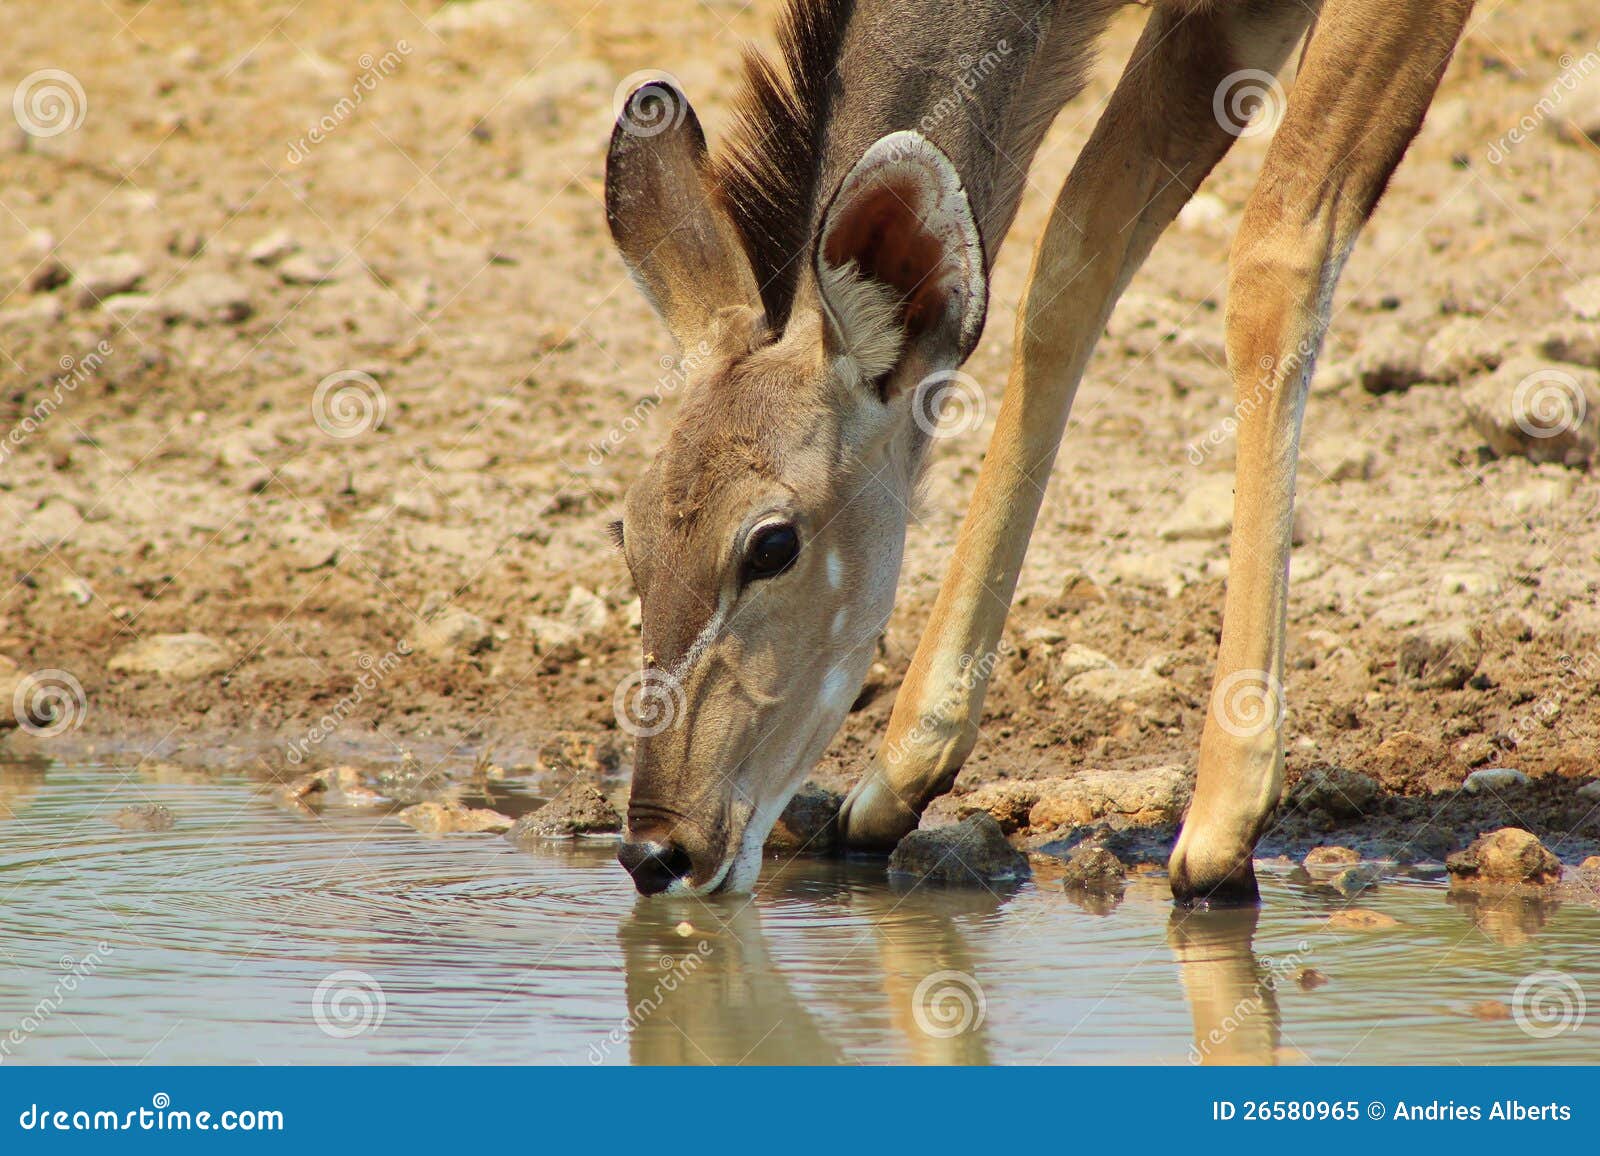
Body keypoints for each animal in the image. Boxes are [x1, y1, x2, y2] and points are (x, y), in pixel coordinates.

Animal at [605, 0, 1474, 900]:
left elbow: (1278, 248)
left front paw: (1221, 829)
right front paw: (891, 784)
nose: (657, 850)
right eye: (628, 533)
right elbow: (1074, 248)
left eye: (772, 544)